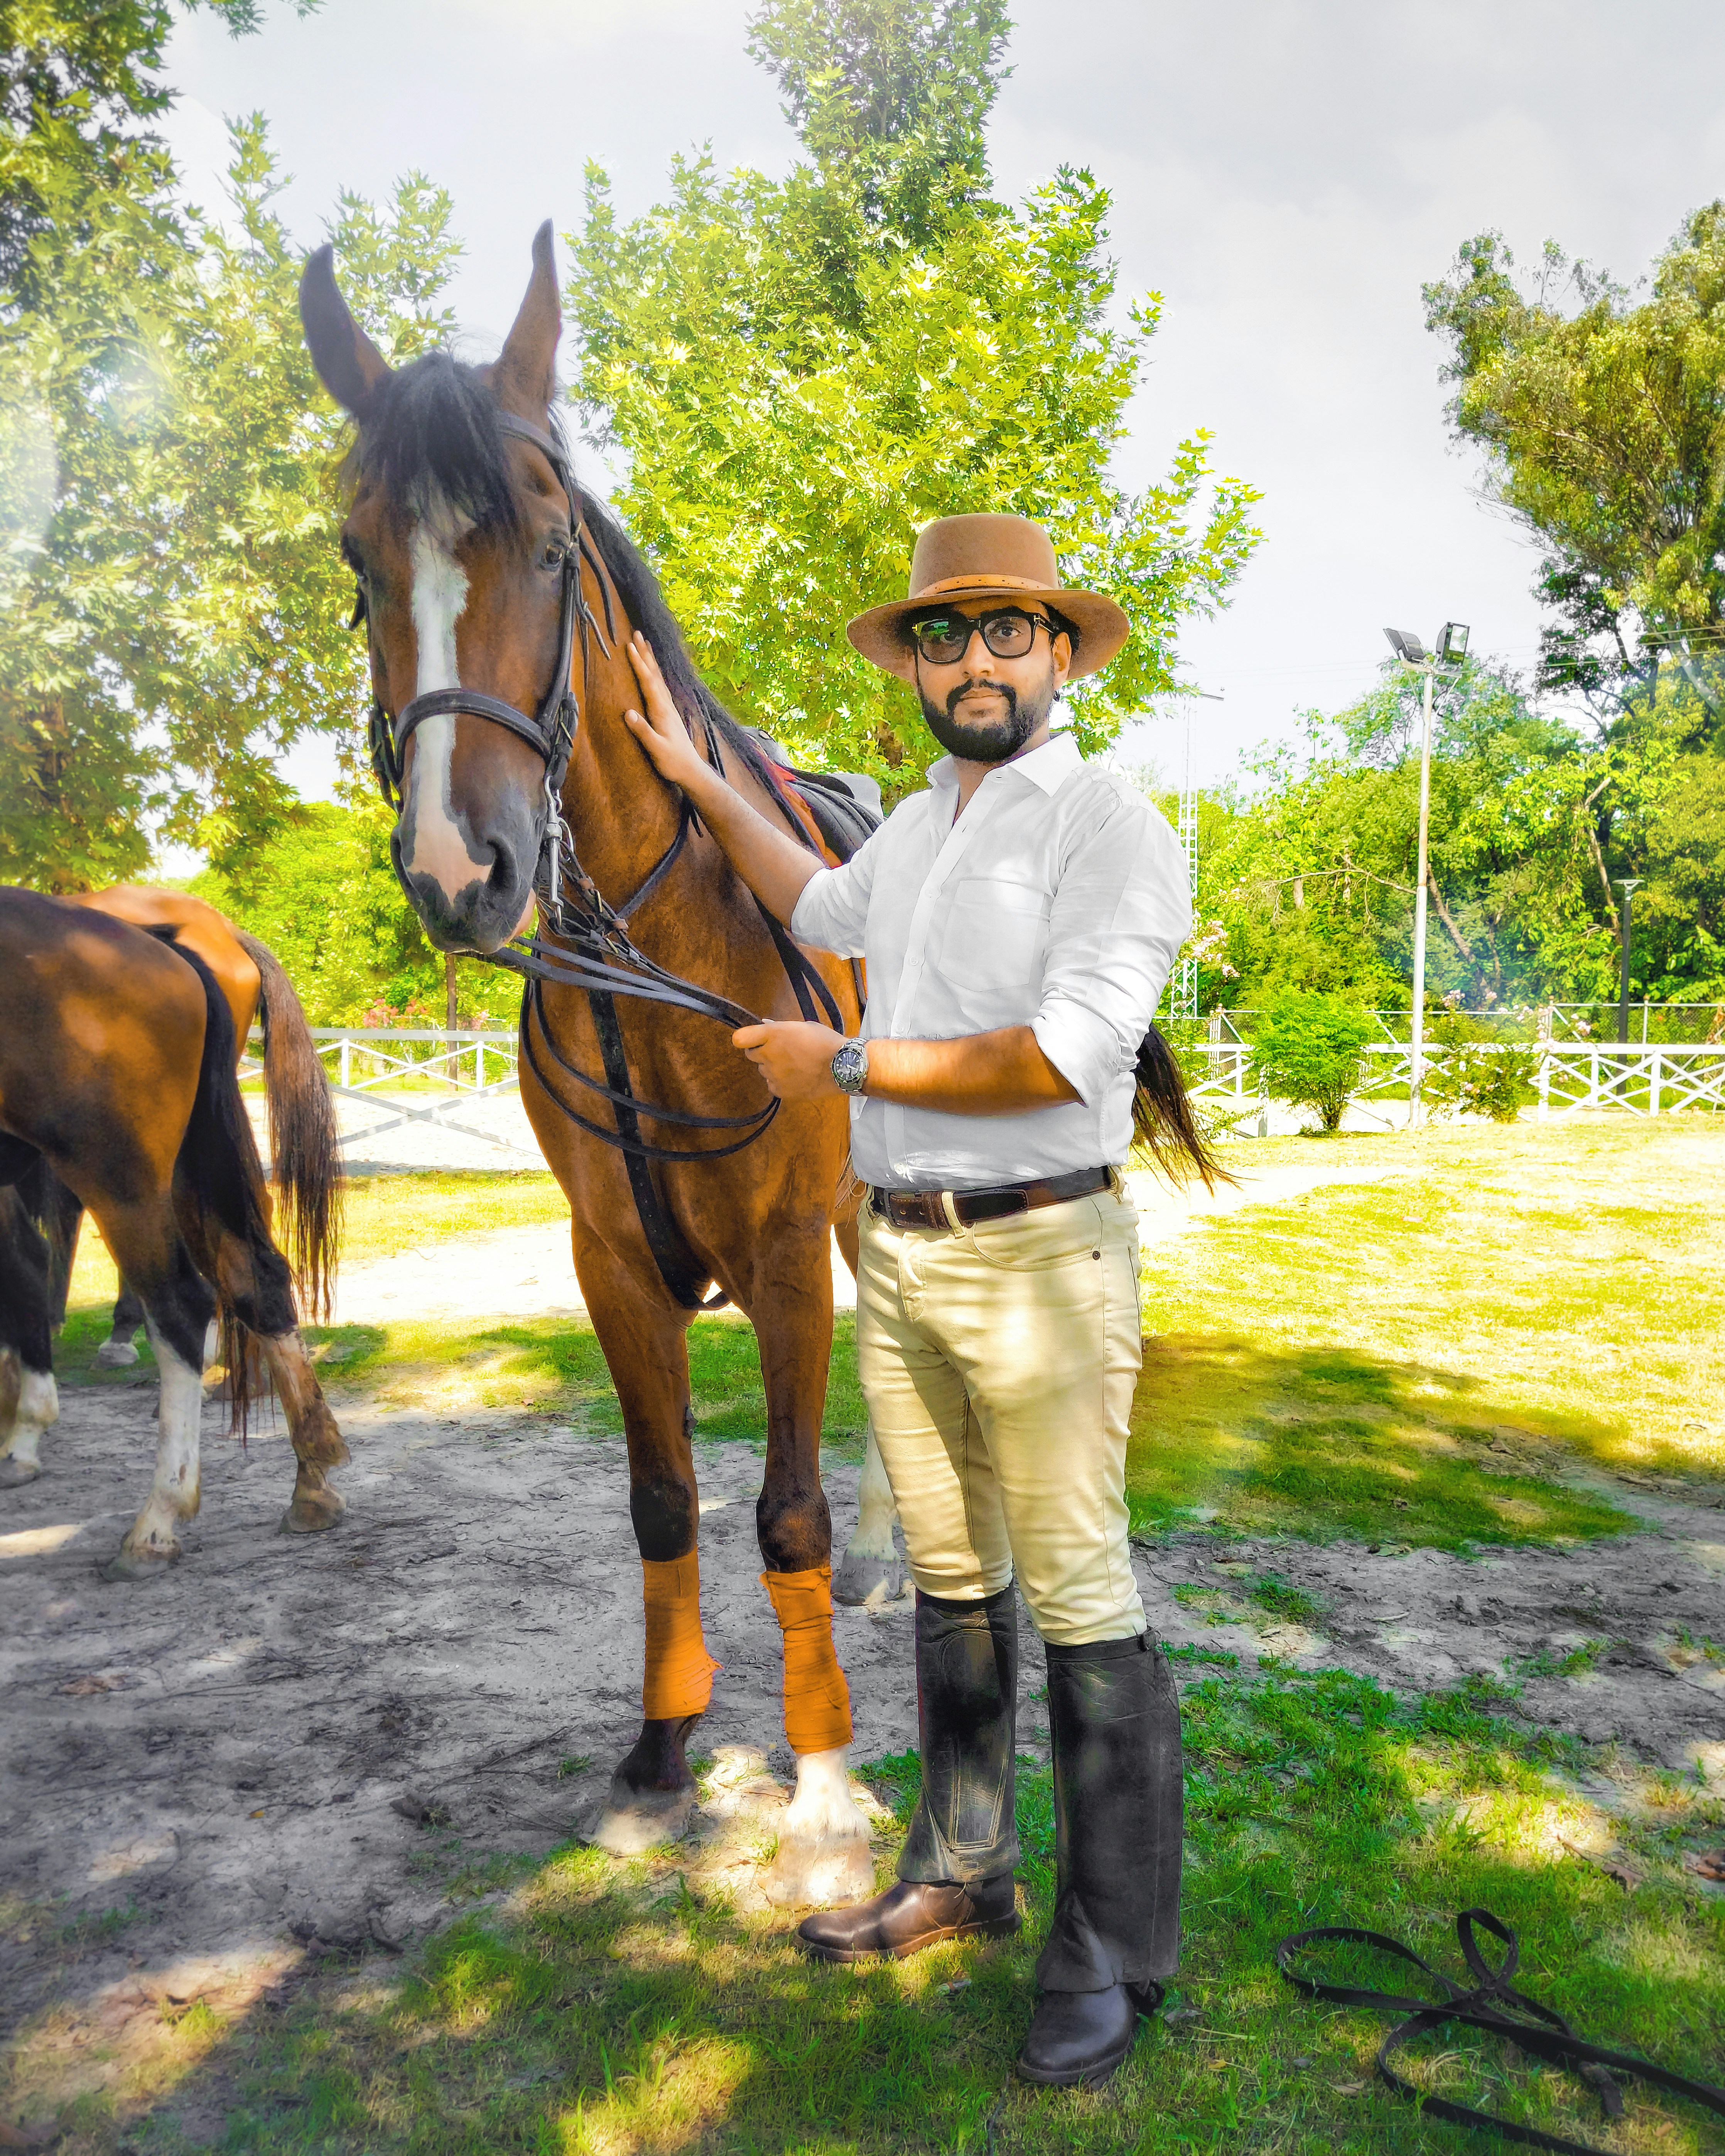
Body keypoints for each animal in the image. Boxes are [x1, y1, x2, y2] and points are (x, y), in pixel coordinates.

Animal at [299, 224, 880, 1901]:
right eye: (359, 561)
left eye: (554, 550)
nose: (460, 867)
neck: (654, 957)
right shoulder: (611, 1264)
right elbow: (666, 1501)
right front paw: (658, 1755)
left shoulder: (784, 1256)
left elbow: (790, 1513)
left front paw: (823, 1792)